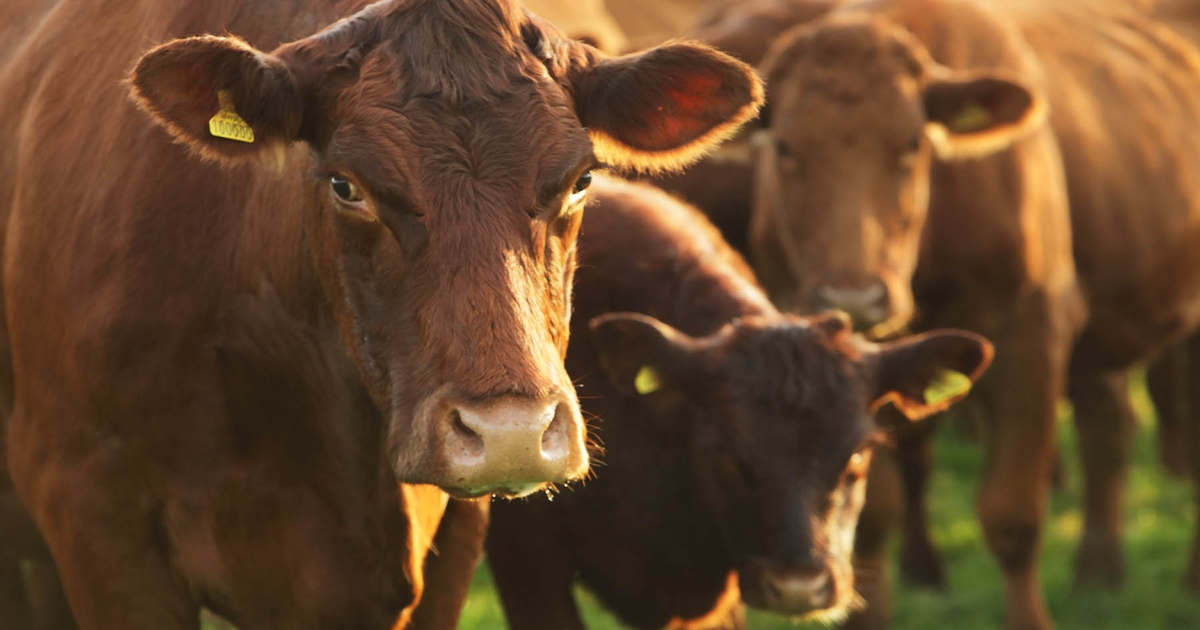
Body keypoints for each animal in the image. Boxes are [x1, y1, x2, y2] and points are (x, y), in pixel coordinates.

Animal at [747, 0, 1200, 628]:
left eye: (913, 143)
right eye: (786, 147)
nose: (853, 298)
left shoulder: (1031, 331)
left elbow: (1013, 514)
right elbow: (872, 517)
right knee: (1108, 425)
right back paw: (1097, 573)